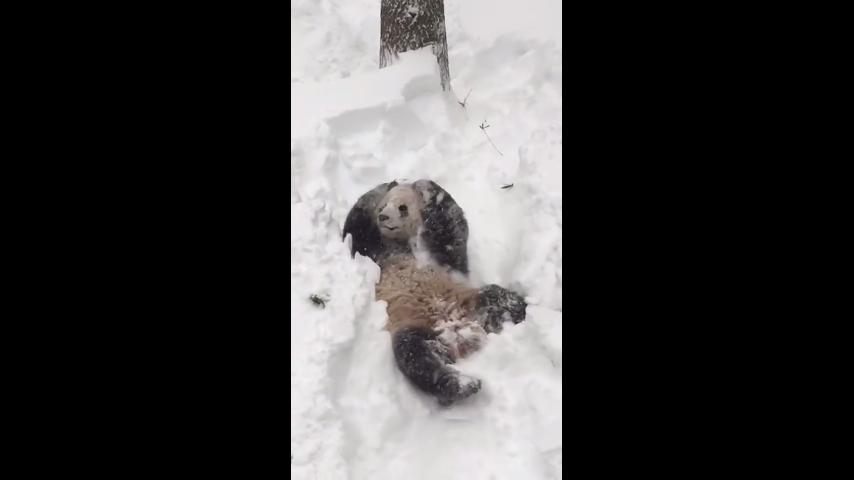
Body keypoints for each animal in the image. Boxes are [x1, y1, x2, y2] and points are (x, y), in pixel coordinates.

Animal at [342, 179, 527, 406]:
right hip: (412, 324)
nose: (383, 217)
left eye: (402, 208)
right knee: (416, 356)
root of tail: (459, 336)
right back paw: (462, 385)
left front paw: (428, 190)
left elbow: (452, 234)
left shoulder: (442, 260)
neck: (399, 243)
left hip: (471, 300)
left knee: (504, 300)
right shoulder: (374, 256)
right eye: (384, 206)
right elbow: (356, 233)